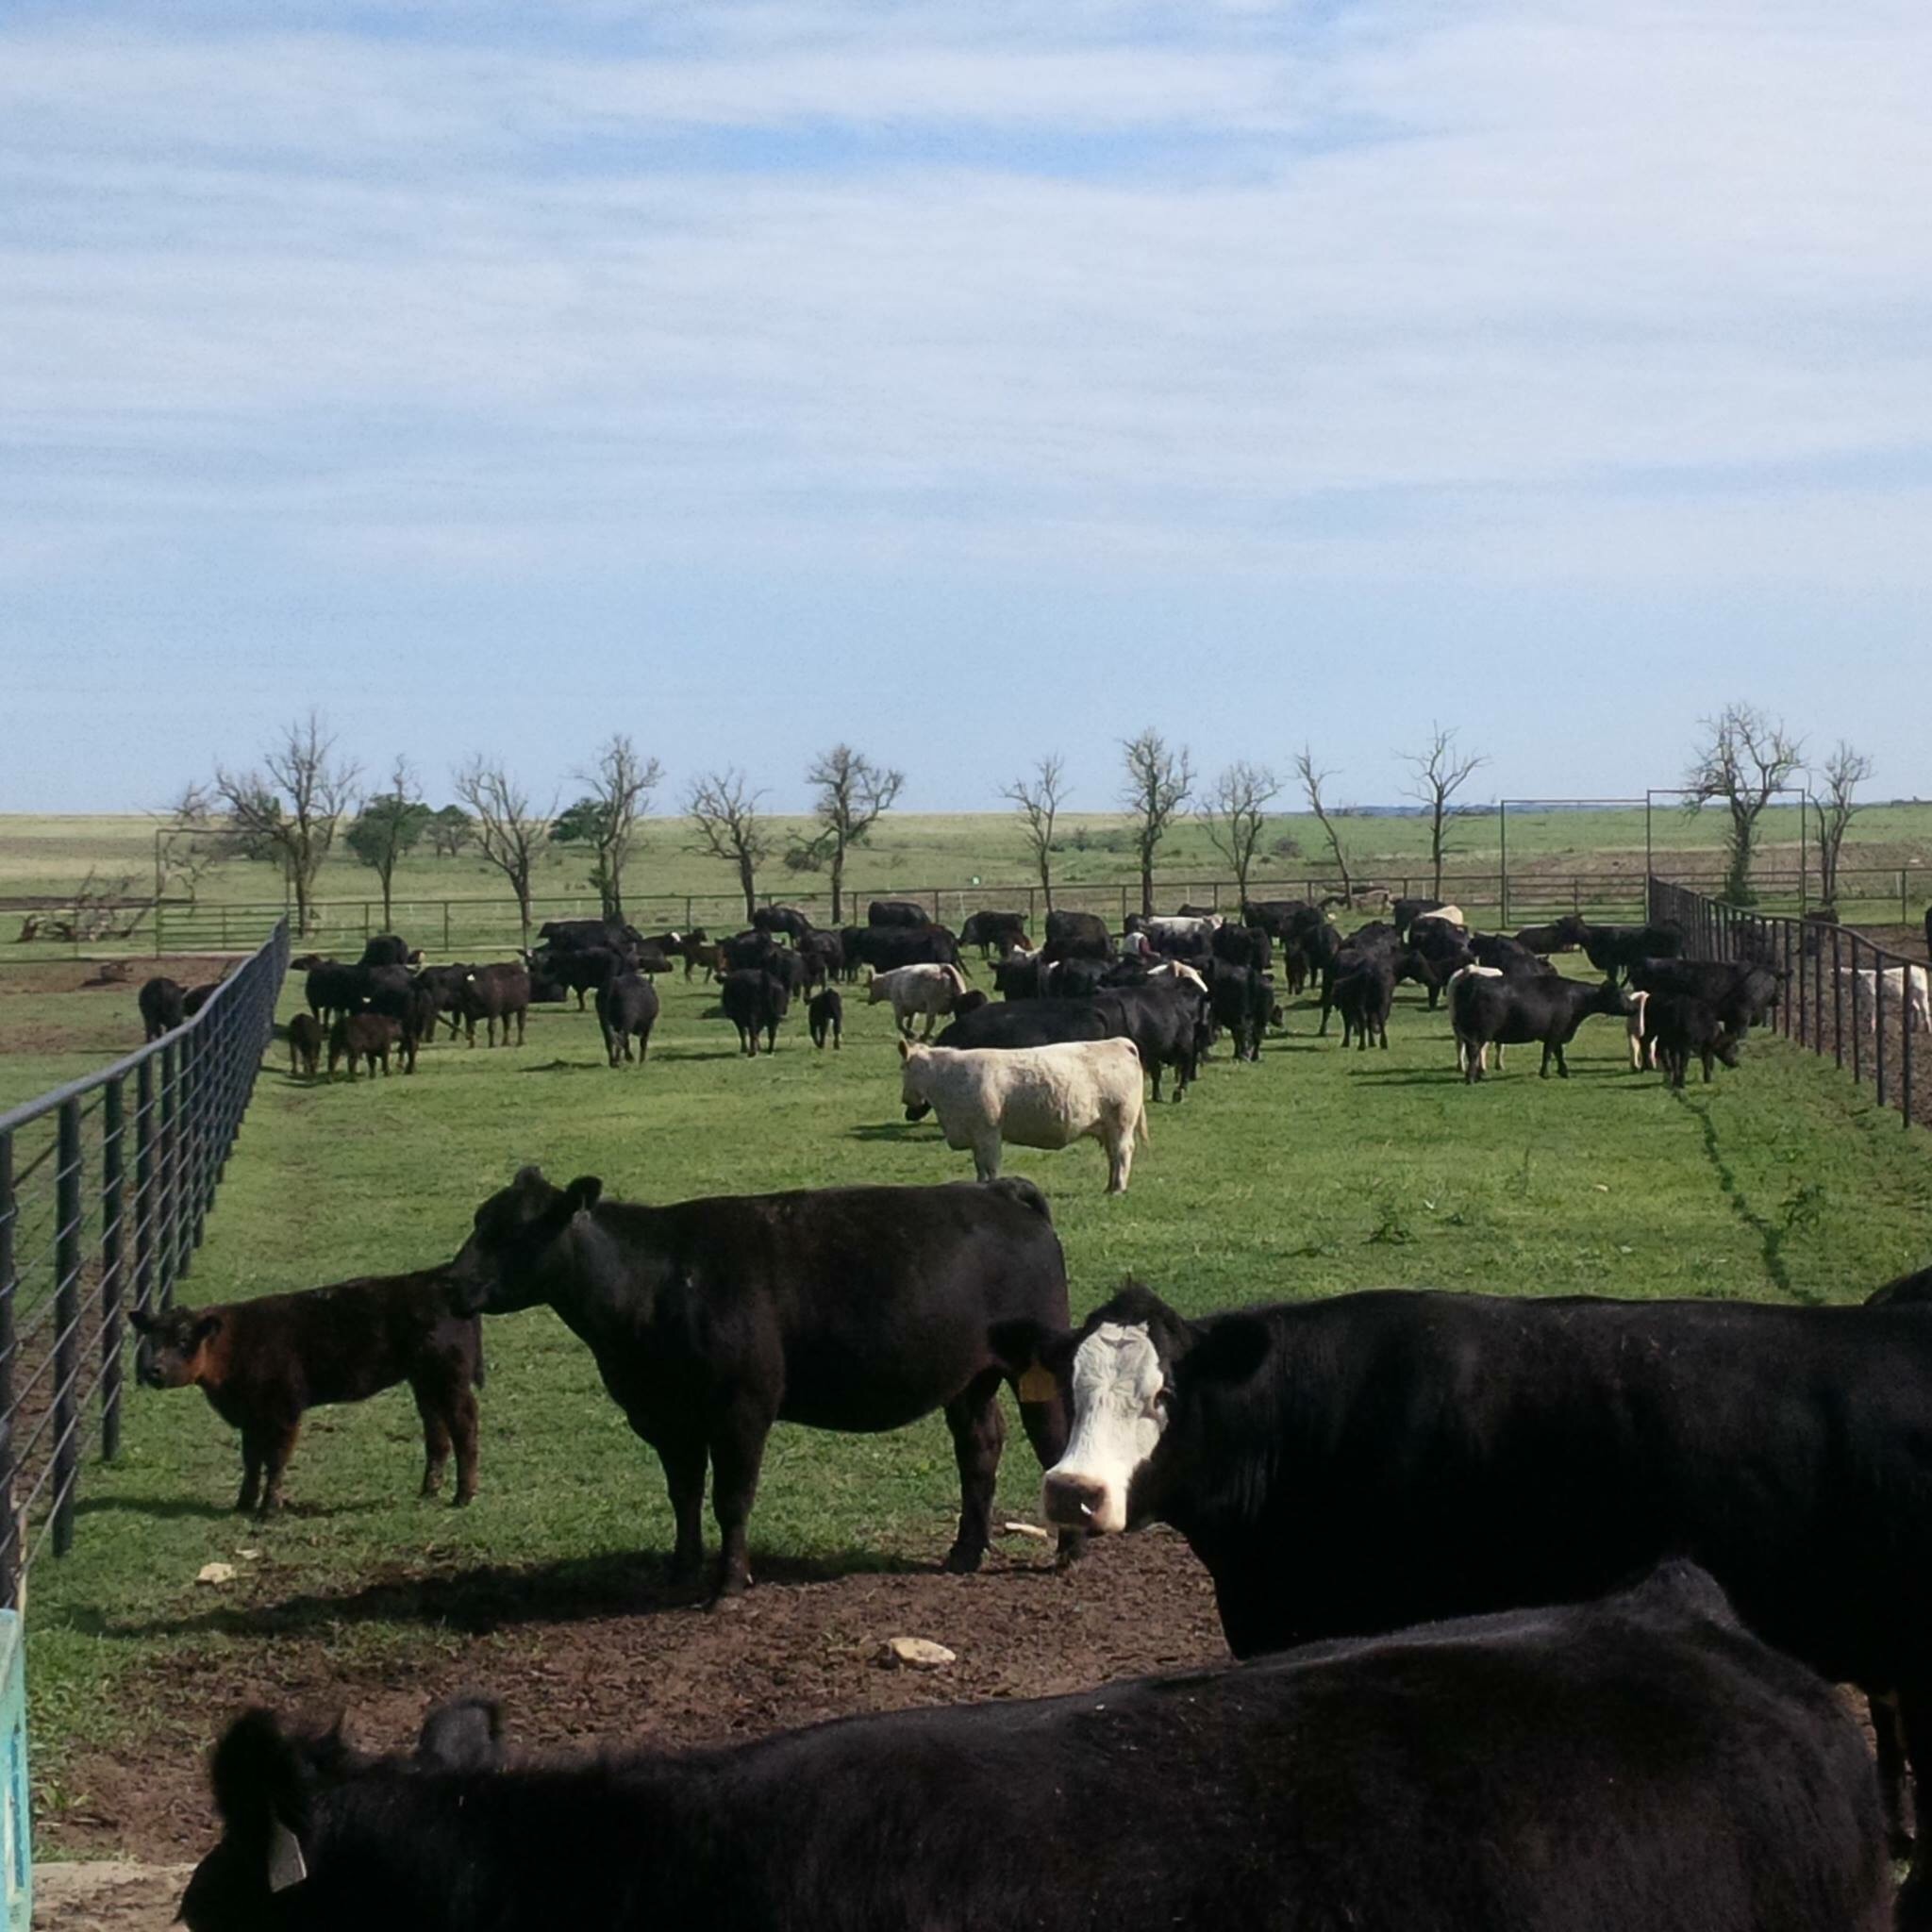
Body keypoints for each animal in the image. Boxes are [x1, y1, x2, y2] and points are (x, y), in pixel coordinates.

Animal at [129, 1269, 483, 1515]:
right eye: (152, 1339)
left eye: (184, 1340)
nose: (153, 1370)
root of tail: (440, 1282)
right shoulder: (251, 1415)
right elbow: (251, 1459)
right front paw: (244, 1503)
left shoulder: (284, 1407)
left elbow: (276, 1459)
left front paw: (269, 1509)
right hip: (425, 1381)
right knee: (436, 1431)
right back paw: (429, 1491)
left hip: (450, 1377)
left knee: (464, 1426)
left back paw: (463, 1496)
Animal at [447, 1166, 1077, 1596]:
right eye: (478, 1220)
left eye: (518, 1233)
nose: (454, 1282)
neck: (656, 1283)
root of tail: (996, 1192)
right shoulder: (667, 1420)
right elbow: (683, 1495)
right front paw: (682, 1570)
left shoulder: (741, 1408)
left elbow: (731, 1498)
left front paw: (729, 1583)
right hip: (969, 1378)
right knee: (979, 1449)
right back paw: (965, 1552)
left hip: (1036, 1364)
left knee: (1053, 1444)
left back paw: (1069, 1553)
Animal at [898, 1038, 1147, 1192]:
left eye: (903, 1069)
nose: (905, 1101)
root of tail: (1119, 1042)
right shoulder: (975, 1135)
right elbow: (980, 1166)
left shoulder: (988, 1132)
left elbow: (990, 1166)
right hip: (1108, 1127)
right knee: (1112, 1155)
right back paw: (1109, 1186)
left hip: (1122, 1121)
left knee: (1122, 1152)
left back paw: (1118, 1189)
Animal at [1451, 970, 1631, 1080]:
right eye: (1618, 995)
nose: (1634, 1008)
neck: (1573, 998)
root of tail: (1474, 980)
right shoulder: (1555, 1032)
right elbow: (1549, 1053)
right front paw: (1545, 1073)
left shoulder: (1556, 1033)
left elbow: (1558, 1053)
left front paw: (1563, 1072)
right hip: (1479, 1033)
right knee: (1474, 1051)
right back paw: (1471, 1078)